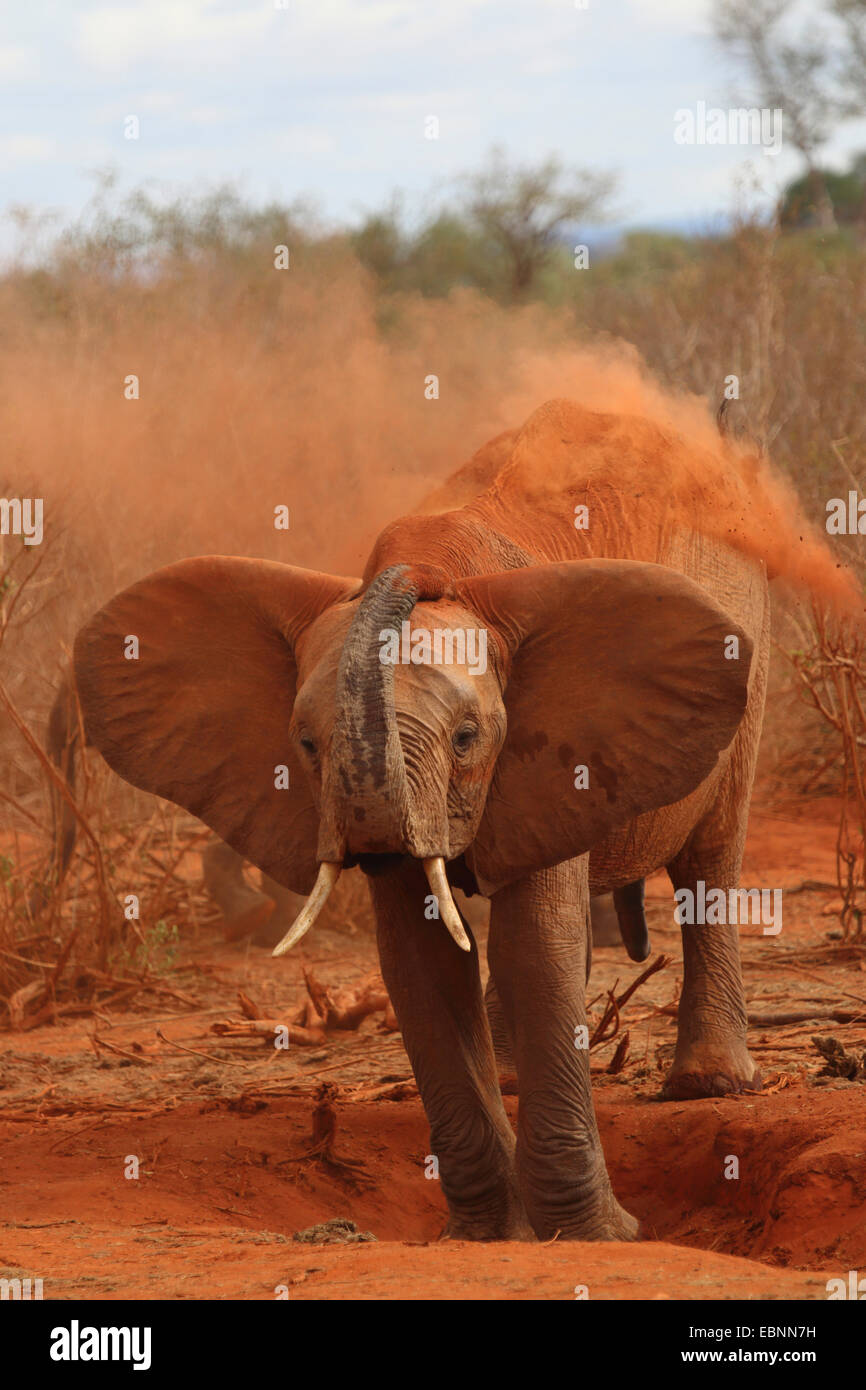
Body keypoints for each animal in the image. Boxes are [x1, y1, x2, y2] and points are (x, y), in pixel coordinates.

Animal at [72, 398, 768, 1242]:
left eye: (467, 739)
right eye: (307, 745)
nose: (409, 582)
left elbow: (538, 945)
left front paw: (603, 1235)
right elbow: (419, 962)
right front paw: (491, 1234)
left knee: (710, 858)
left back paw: (711, 1086)